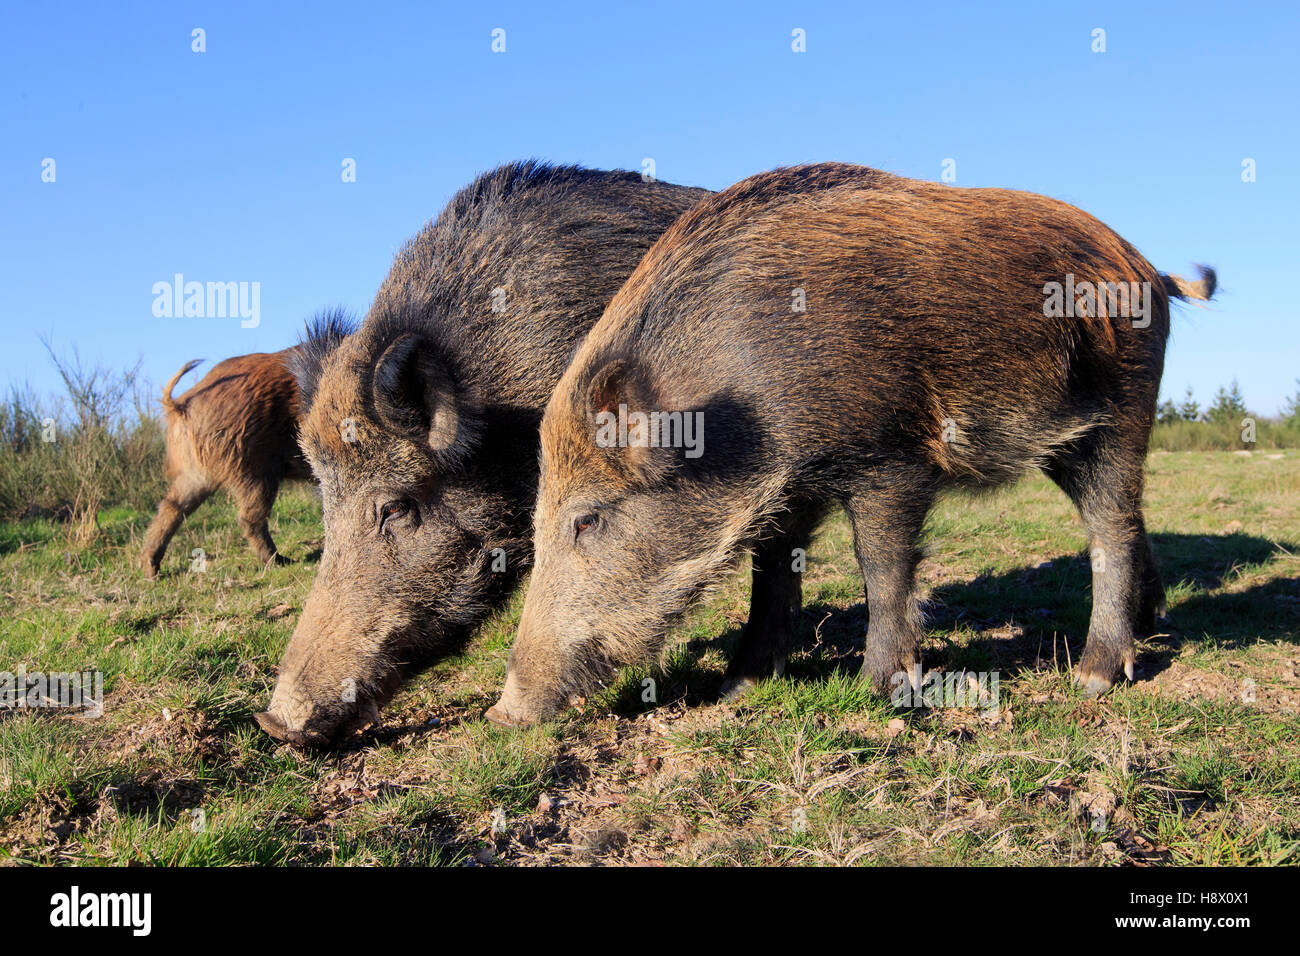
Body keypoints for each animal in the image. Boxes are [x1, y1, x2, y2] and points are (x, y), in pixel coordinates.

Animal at [140, 312, 351, 578]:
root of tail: (182, 403)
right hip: (251, 466)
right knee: (249, 517)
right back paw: (280, 561)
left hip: (198, 473)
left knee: (172, 507)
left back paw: (150, 571)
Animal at [487, 162, 1217, 727]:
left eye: (588, 519)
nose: (503, 713)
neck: (739, 413)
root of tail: (1151, 269)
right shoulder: (785, 491)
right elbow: (772, 576)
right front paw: (734, 689)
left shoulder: (889, 456)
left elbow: (882, 565)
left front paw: (876, 691)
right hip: (1070, 440)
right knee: (1129, 518)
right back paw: (1154, 625)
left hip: (1122, 411)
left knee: (1109, 525)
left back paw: (1092, 679)